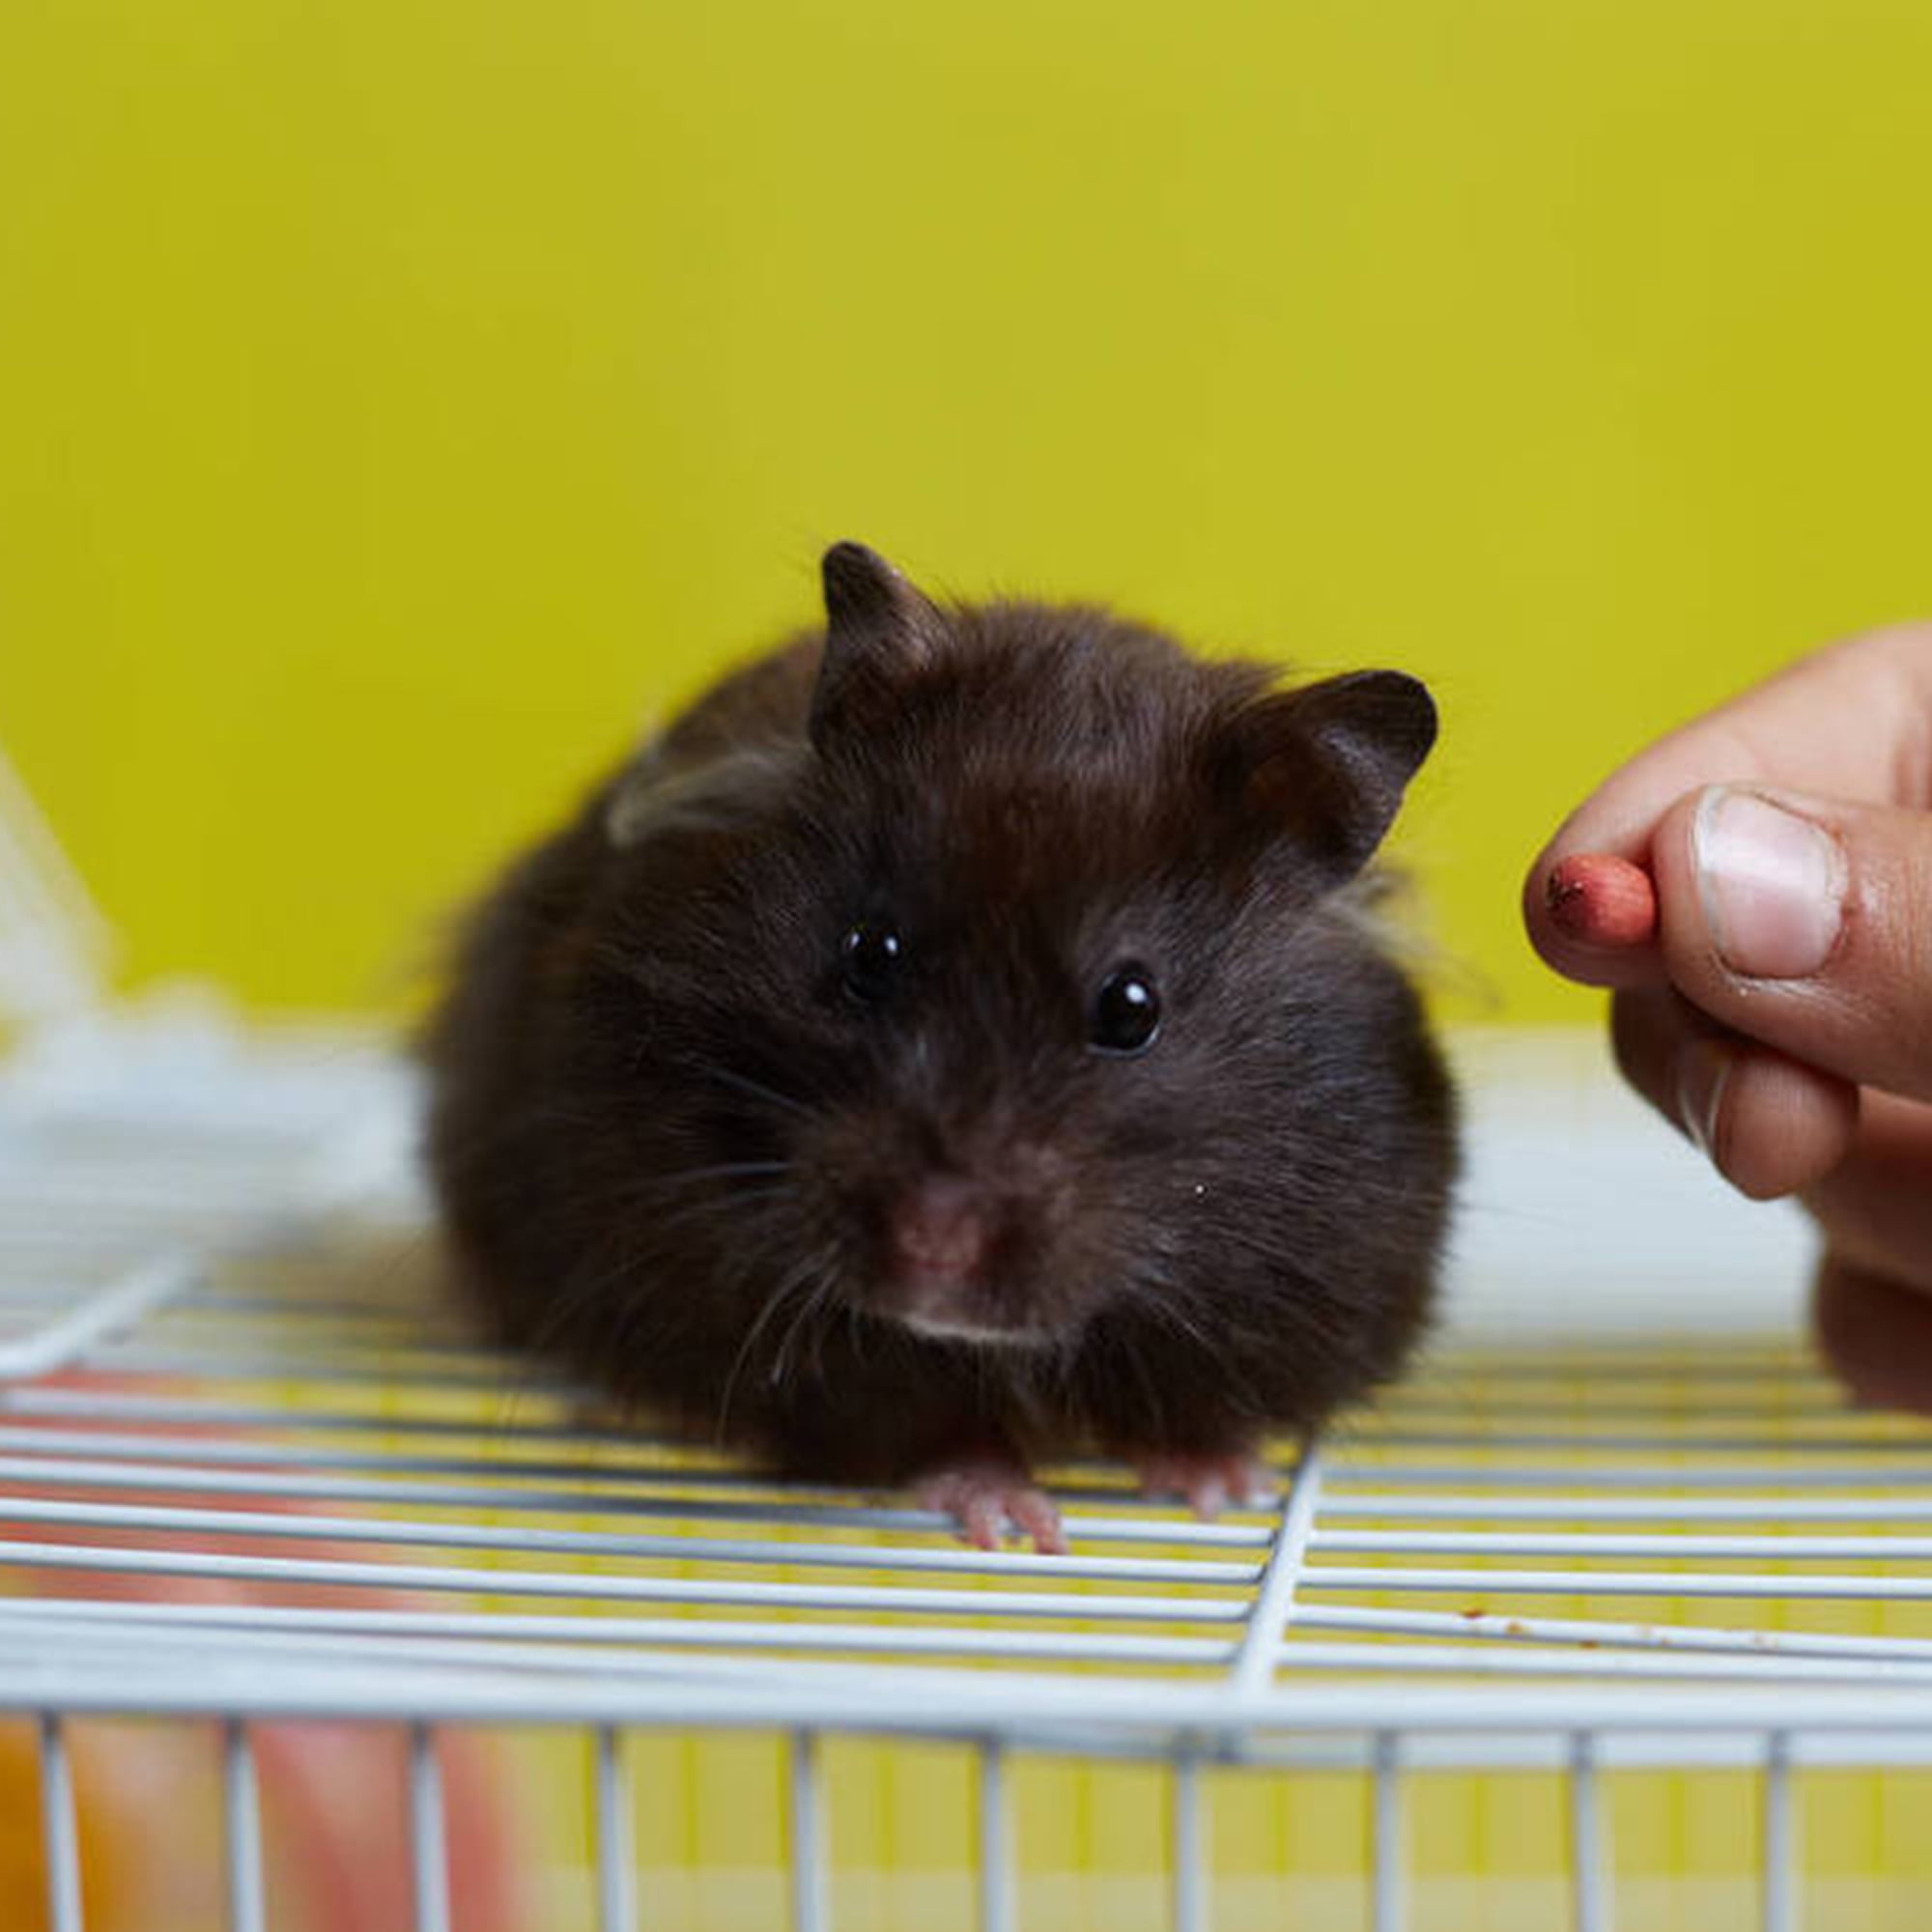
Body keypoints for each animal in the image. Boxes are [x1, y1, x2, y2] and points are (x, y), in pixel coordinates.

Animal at [420, 543, 1457, 1551]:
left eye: (1132, 1007)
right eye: (868, 953)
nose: (935, 1246)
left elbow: (1196, 1411)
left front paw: (1218, 1491)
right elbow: (920, 1425)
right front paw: (1014, 1517)